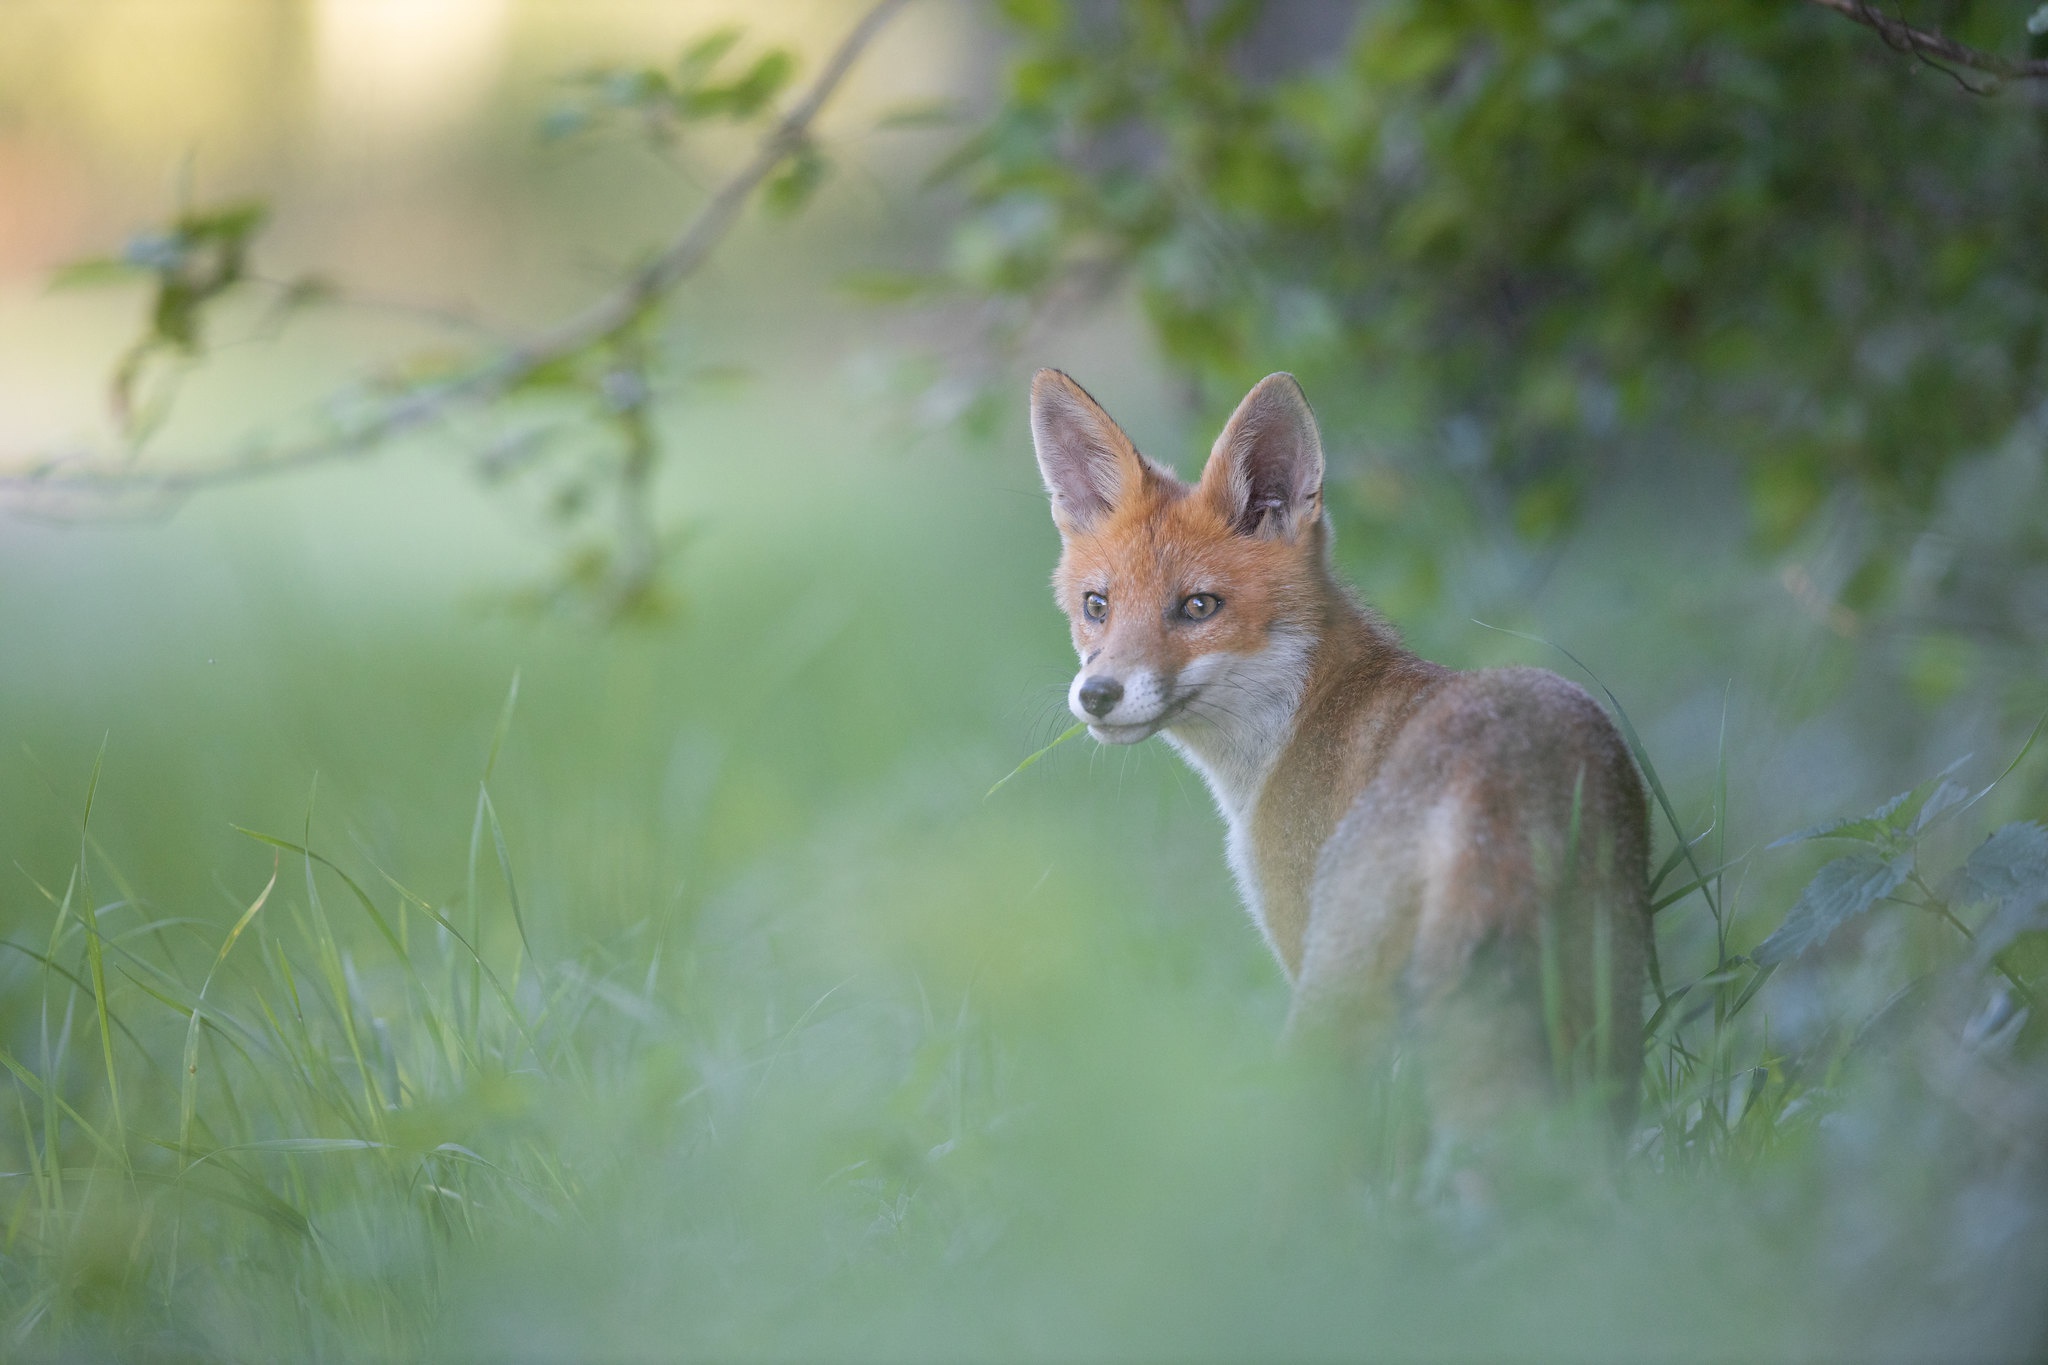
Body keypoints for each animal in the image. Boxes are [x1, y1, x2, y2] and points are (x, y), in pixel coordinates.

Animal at [1029, 368, 1651, 1134]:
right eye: (1098, 606)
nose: (1098, 694)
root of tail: (1494, 770)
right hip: (1606, 999)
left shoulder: (1299, 939)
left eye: (1199, 606)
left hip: (1342, 998)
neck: (1301, 716)